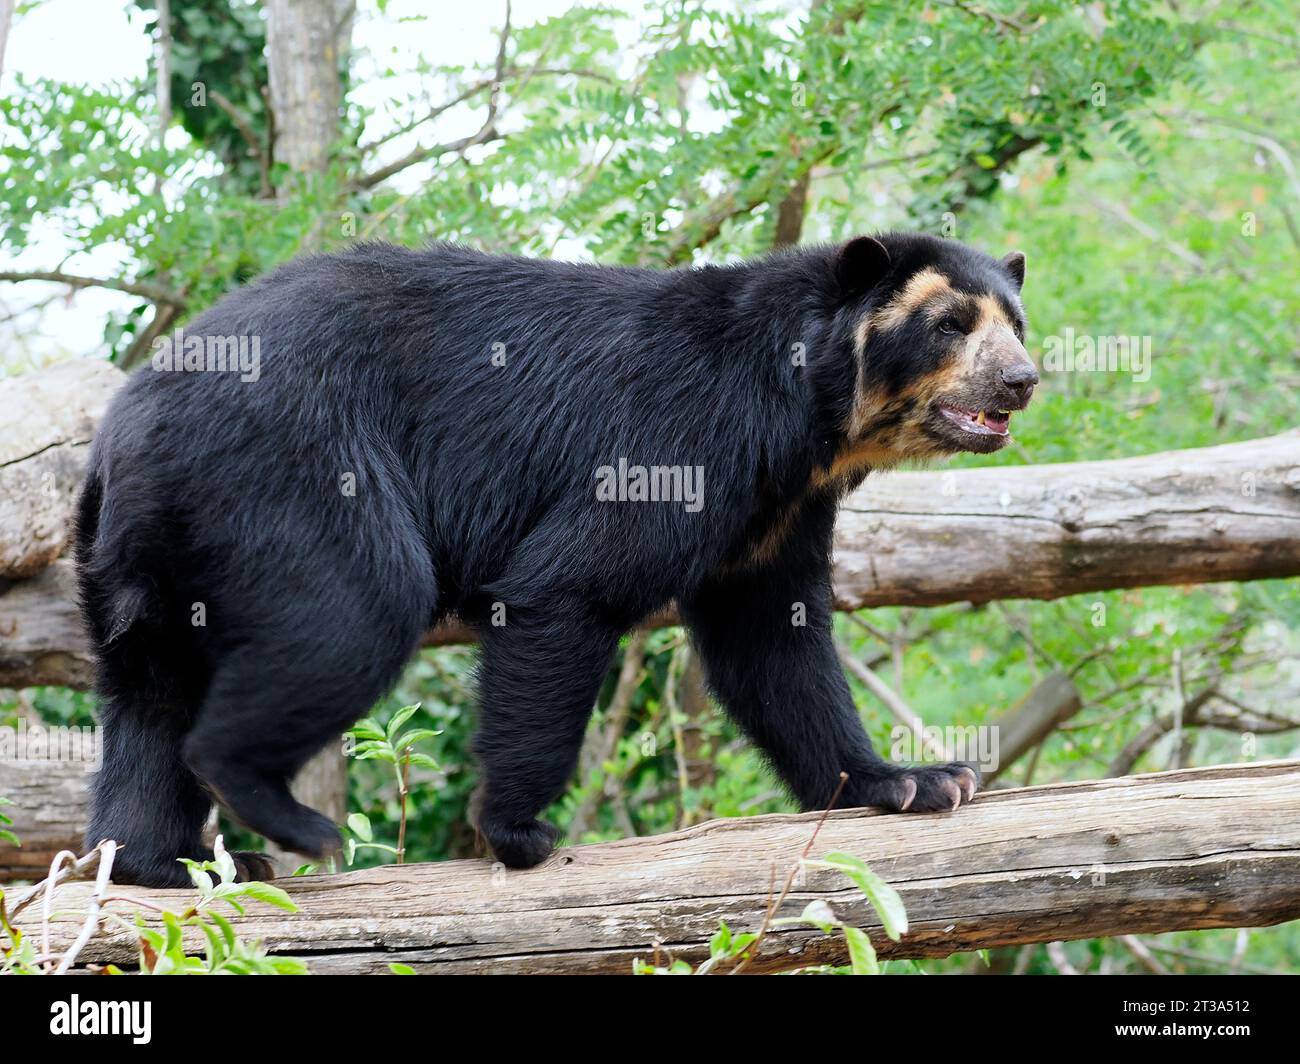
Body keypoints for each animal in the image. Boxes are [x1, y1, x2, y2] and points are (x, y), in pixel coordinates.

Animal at [75, 232, 1037, 886]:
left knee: (150, 691)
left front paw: (912, 782)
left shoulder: (777, 507)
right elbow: (569, 586)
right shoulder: (684, 437)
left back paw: (152, 862)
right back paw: (287, 822)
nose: (1022, 380)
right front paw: (518, 832)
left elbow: (773, 639)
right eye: (950, 324)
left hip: (152, 552)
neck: (809, 420)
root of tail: (124, 422)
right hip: (293, 464)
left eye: (1017, 323)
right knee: (353, 610)